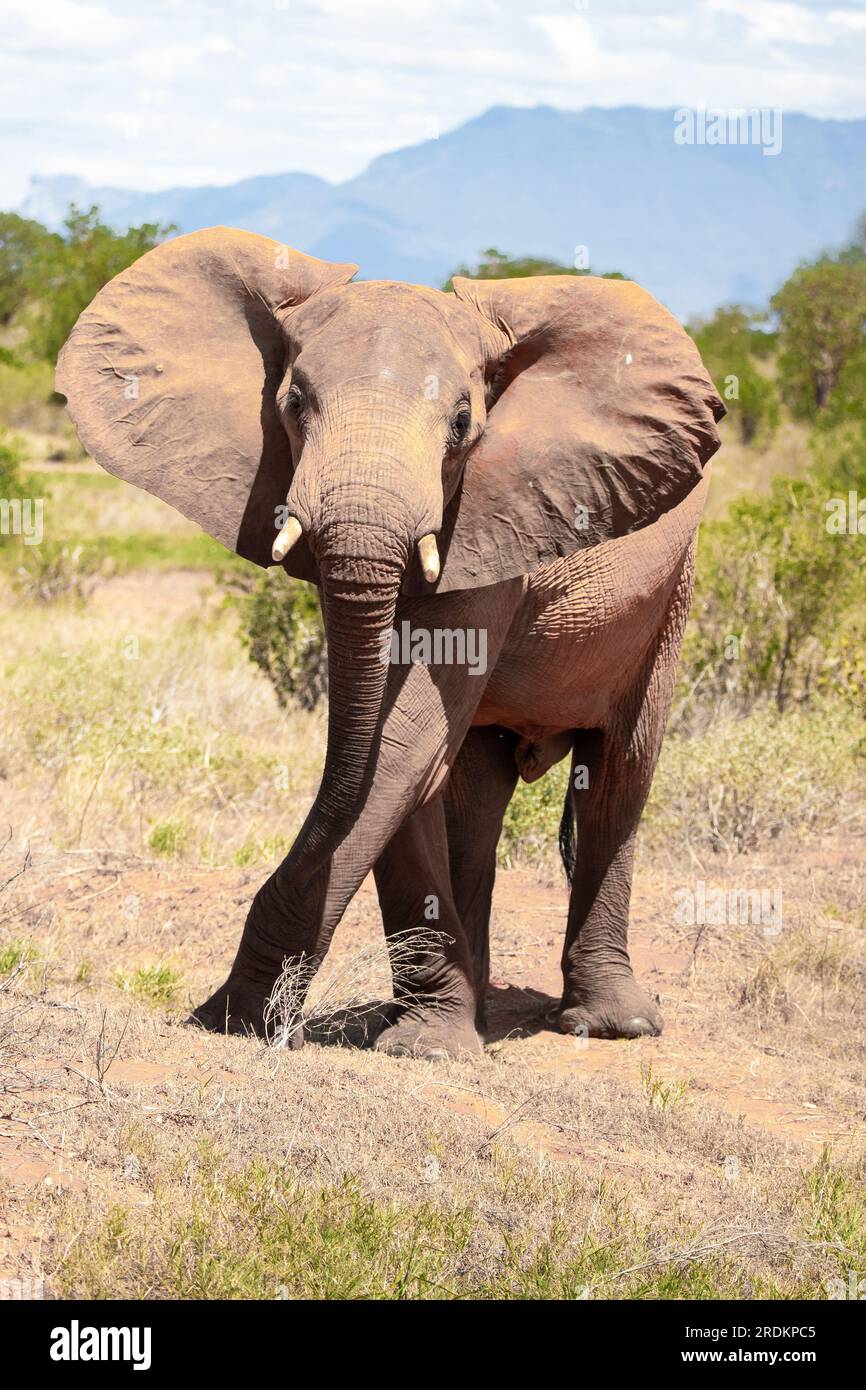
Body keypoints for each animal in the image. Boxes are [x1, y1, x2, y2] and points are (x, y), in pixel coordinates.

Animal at [56, 227, 724, 1059]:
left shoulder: (491, 518)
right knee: (475, 792)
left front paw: (244, 1019)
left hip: (670, 594)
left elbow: (403, 742)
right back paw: (479, 1003)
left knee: (618, 774)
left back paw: (611, 1025)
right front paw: (416, 1038)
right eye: (293, 404)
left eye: (463, 424)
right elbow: (400, 755)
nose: (239, 1014)